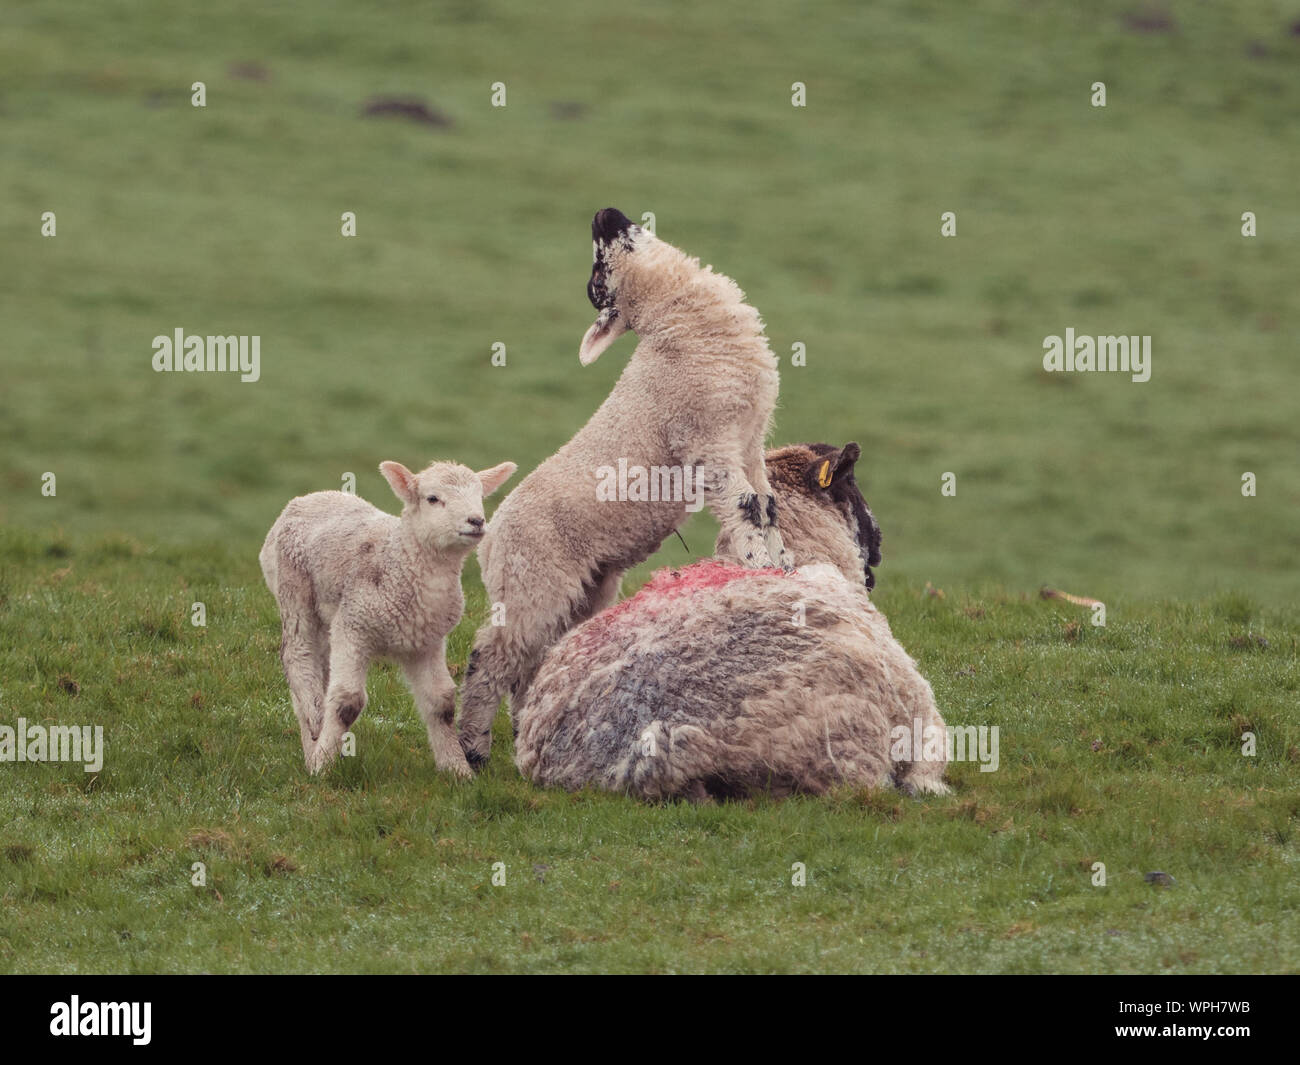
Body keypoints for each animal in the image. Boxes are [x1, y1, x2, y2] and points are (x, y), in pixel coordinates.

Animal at [259, 458, 516, 775]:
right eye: (433, 499)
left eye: (480, 496)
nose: (476, 521)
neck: (398, 560)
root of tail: (307, 498)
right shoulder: (353, 623)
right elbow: (347, 702)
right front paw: (322, 766)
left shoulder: (426, 641)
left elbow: (442, 703)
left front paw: (457, 769)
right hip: (292, 587)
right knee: (298, 655)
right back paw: (315, 733)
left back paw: (312, 739)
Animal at [457, 207, 788, 769]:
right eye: (597, 278)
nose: (603, 214)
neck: (680, 324)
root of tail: (491, 532)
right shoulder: (708, 442)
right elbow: (746, 511)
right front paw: (763, 573)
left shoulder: (749, 440)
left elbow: (768, 510)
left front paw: (789, 569)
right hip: (531, 581)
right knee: (492, 655)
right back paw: (472, 751)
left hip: (582, 588)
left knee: (535, 662)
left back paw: (530, 735)